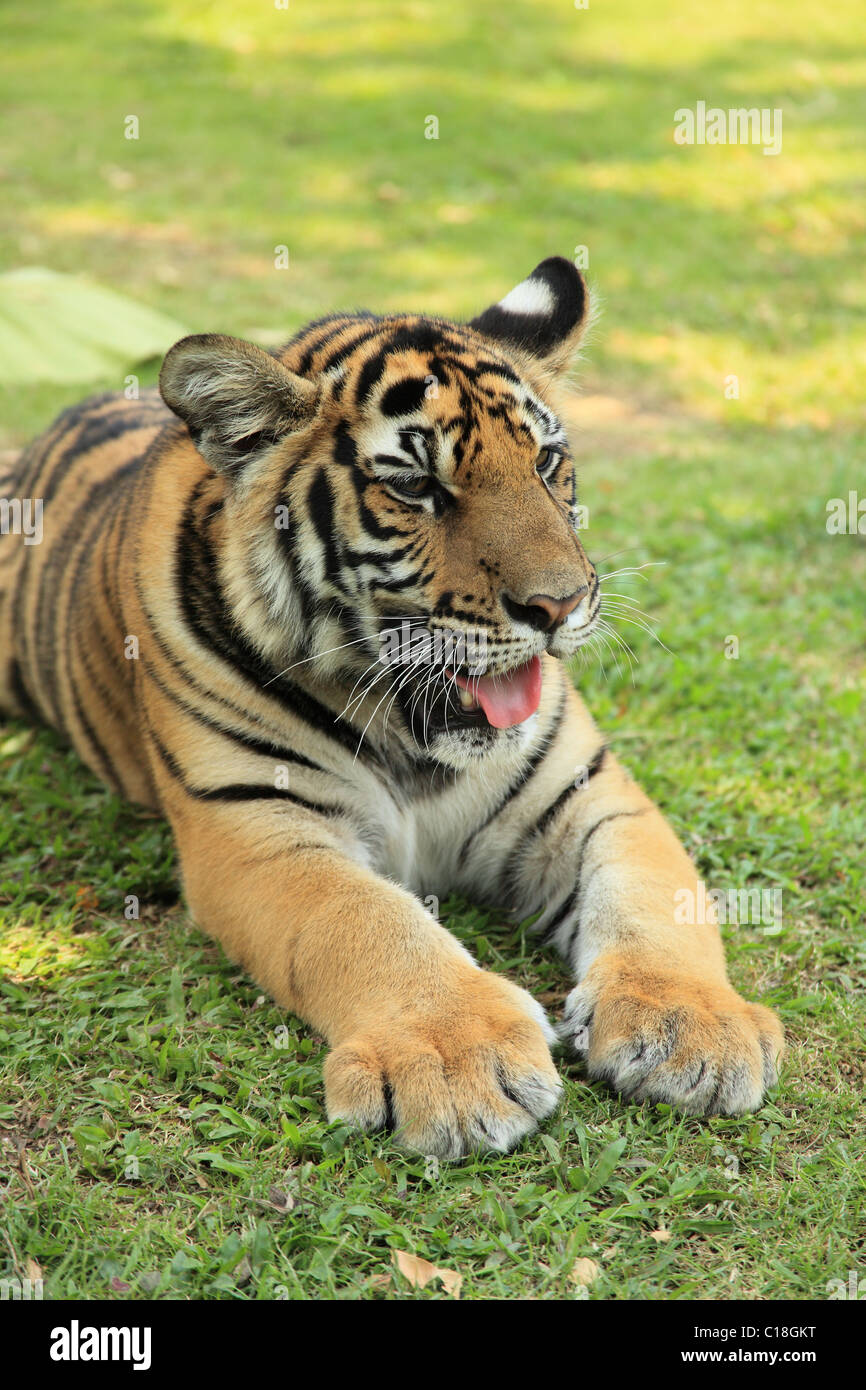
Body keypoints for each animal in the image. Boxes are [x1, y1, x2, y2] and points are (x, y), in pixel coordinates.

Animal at [0, 256, 784, 1158]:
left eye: (547, 461)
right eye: (414, 485)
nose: (561, 605)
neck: (416, 737)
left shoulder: (591, 796)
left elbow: (656, 899)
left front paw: (692, 1030)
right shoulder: (256, 825)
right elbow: (368, 920)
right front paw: (457, 1058)